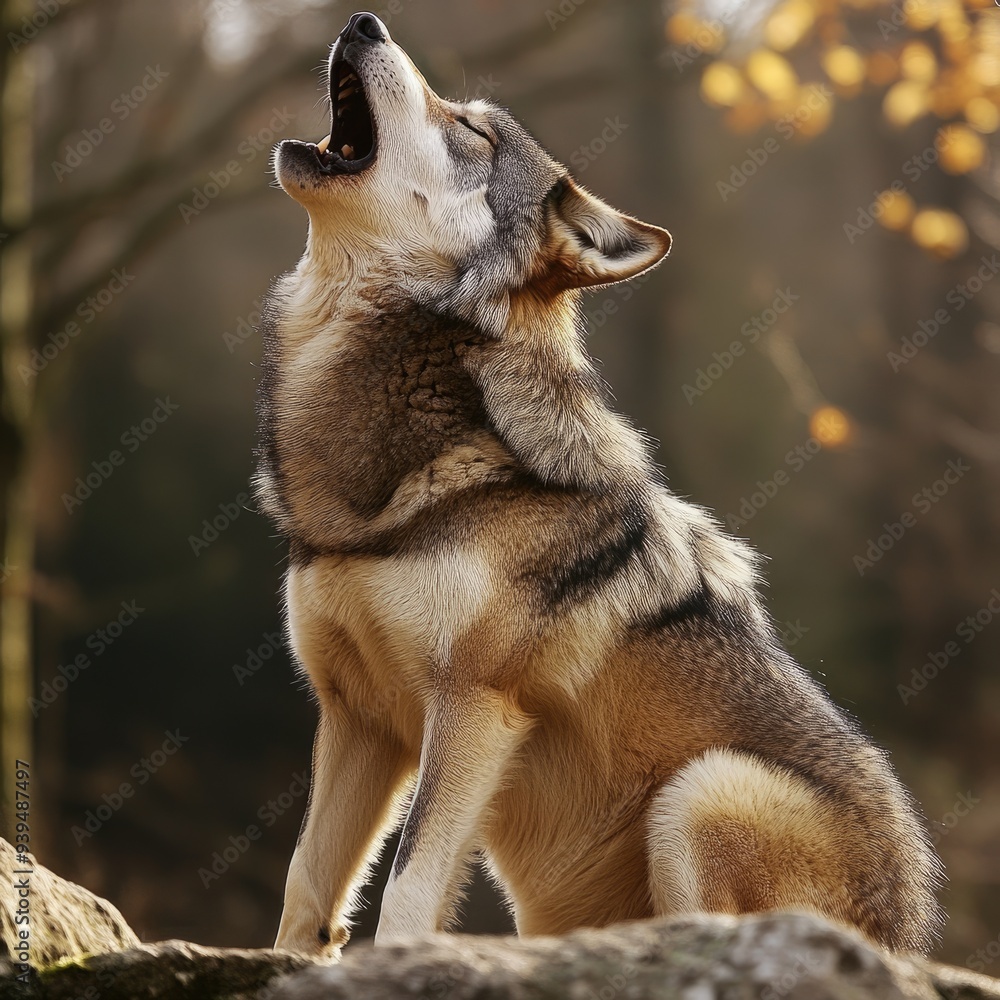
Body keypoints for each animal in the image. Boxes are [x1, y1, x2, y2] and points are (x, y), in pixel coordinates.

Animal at [258, 10, 943, 959]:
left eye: (473, 132)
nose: (364, 21)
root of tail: (909, 939)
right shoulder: (358, 720)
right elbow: (304, 889)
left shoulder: (473, 708)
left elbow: (406, 890)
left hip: (703, 790)